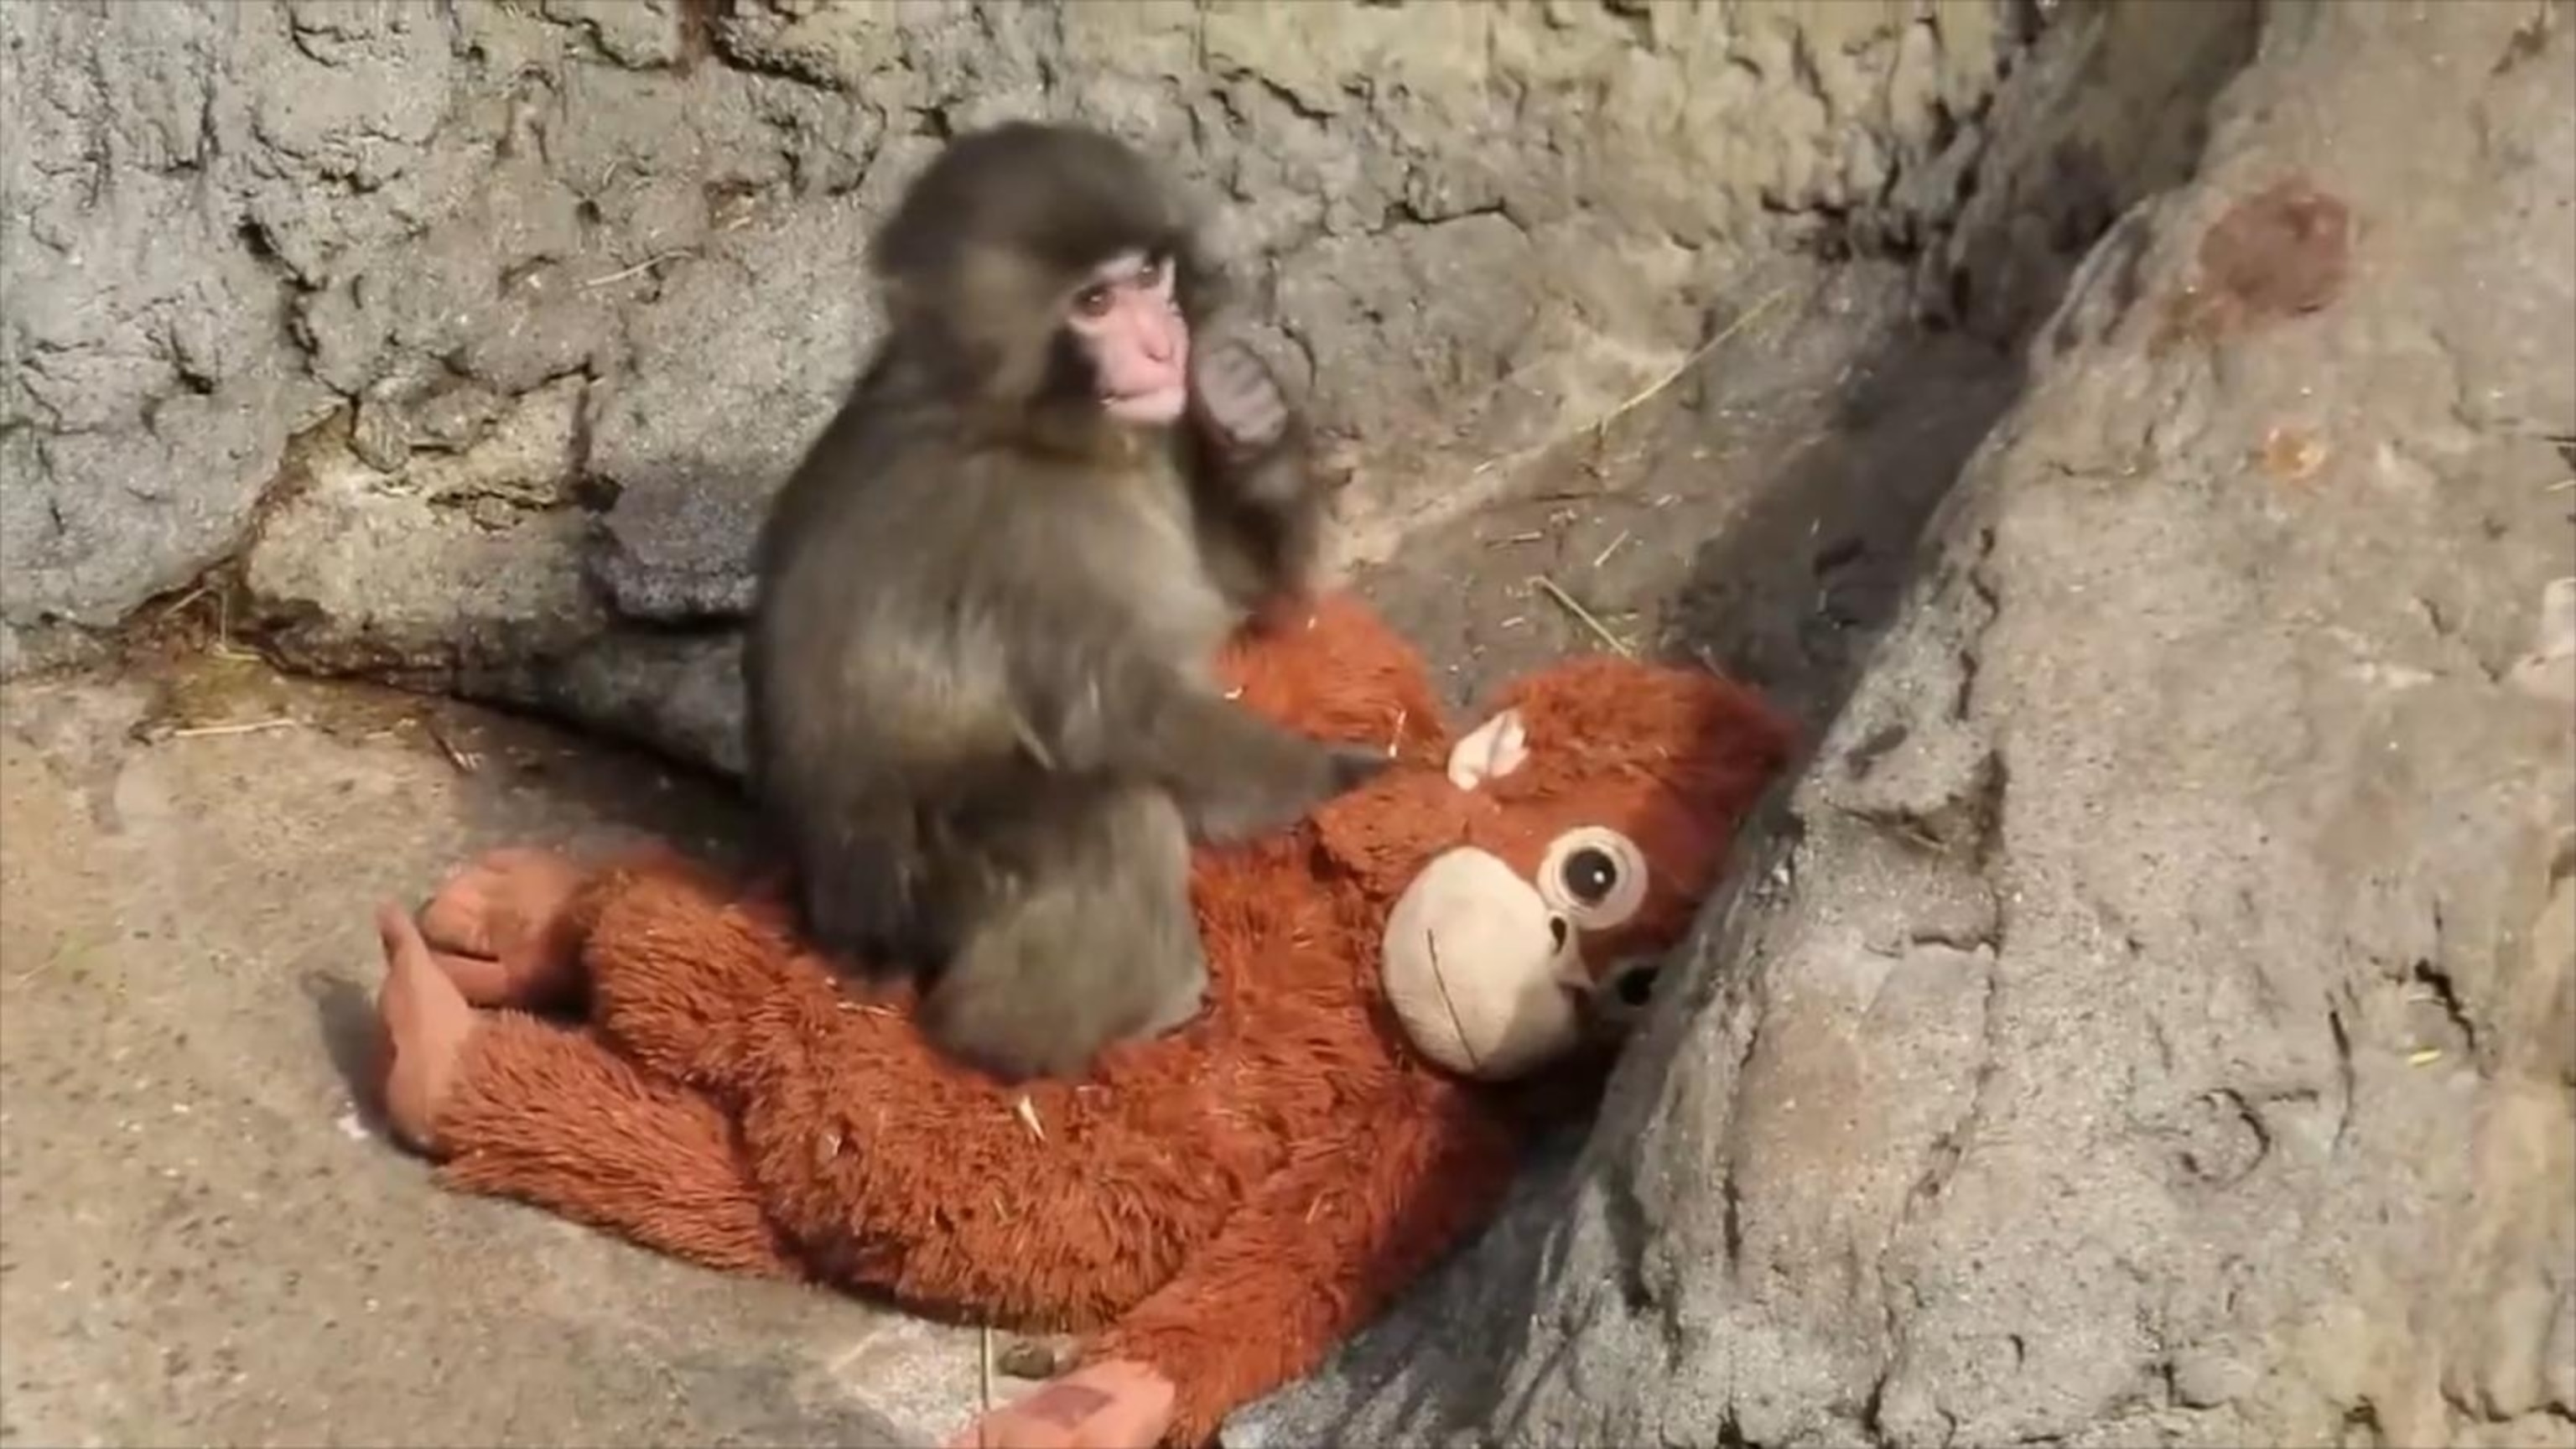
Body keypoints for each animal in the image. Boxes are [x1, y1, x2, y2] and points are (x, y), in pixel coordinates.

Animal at [743, 121, 1385, 1083]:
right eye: (1094, 302)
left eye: (1150, 277)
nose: (1164, 343)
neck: (1025, 427)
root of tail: (836, 919)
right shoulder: (1027, 530)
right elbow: (1114, 712)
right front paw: (1342, 778)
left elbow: (1235, 590)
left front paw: (1250, 422)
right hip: (923, 886)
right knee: (1108, 816)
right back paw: (1028, 1033)